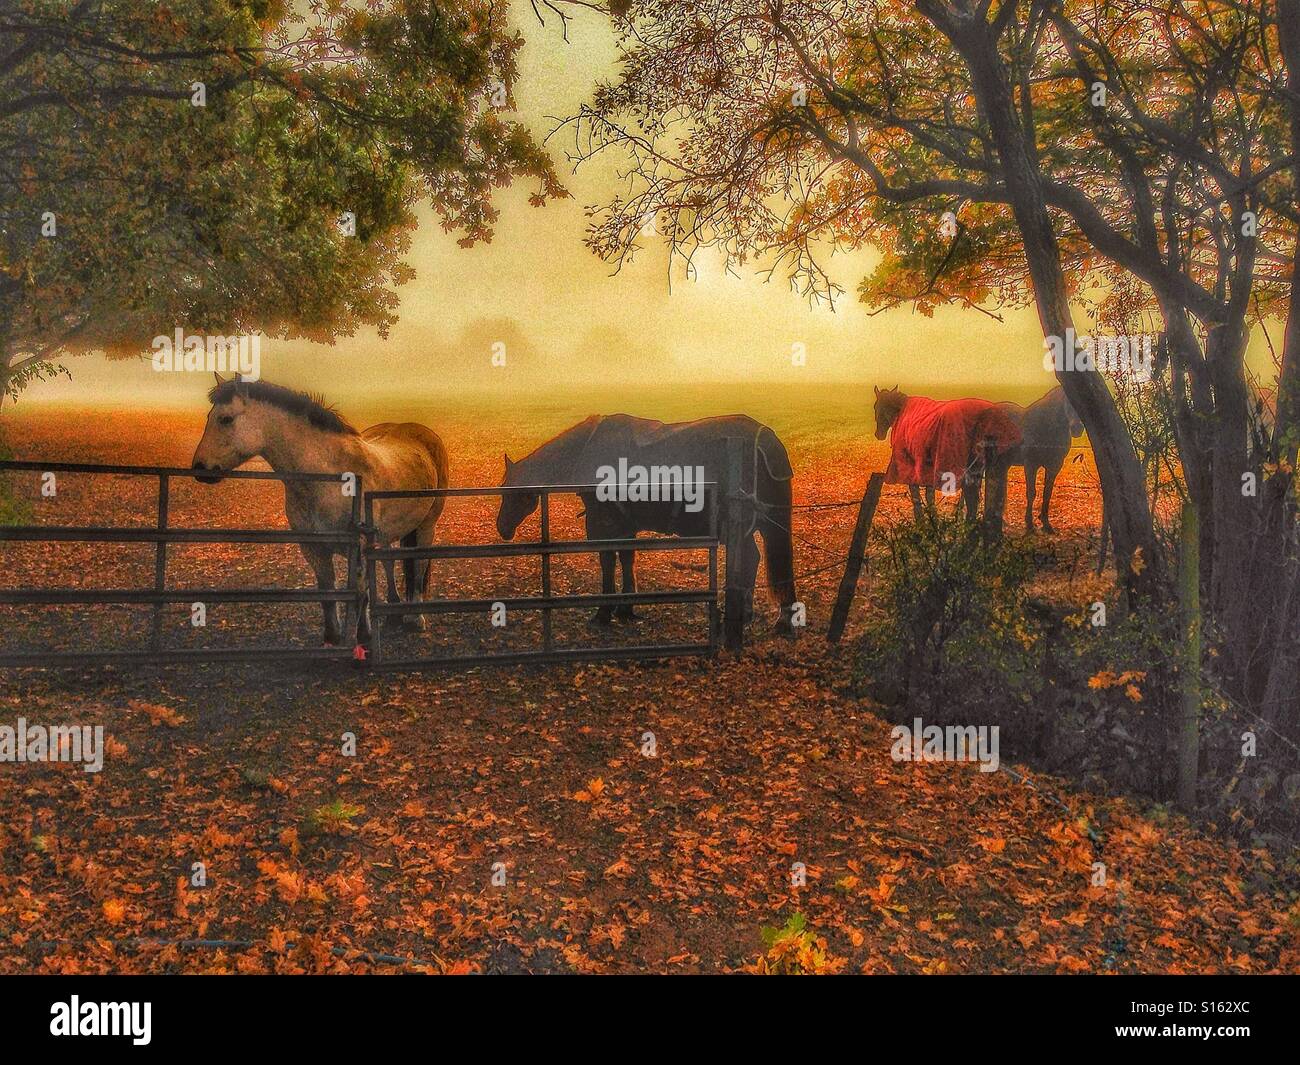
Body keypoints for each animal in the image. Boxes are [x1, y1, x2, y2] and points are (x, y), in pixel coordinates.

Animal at [190, 373, 449, 645]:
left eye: (225, 418)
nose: (199, 467)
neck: (331, 477)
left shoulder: (358, 547)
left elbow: (361, 592)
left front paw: (364, 637)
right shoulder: (314, 548)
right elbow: (327, 591)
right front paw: (333, 637)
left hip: (426, 526)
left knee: (419, 566)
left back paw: (415, 618)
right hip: (389, 534)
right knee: (389, 564)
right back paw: (394, 611)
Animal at [496, 414, 798, 632]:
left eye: (506, 490)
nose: (502, 527)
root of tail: (765, 438)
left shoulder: (602, 526)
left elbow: (608, 563)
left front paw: (604, 614)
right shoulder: (626, 527)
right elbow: (627, 560)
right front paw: (625, 609)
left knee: (748, 559)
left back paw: (742, 615)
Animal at [872, 385, 1022, 535]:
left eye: (876, 406)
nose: (878, 435)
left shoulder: (912, 470)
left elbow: (917, 499)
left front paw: (922, 525)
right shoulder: (927, 470)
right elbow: (929, 497)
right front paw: (933, 523)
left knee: (973, 498)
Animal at [999, 386, 1085, 533]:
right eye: (1067, 400)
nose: (1077, 428)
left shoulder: (1054, 466)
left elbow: (1047, 493)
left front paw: (1046, 524)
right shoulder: (1031, 464)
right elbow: (1031, 492)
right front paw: (1029, 524)